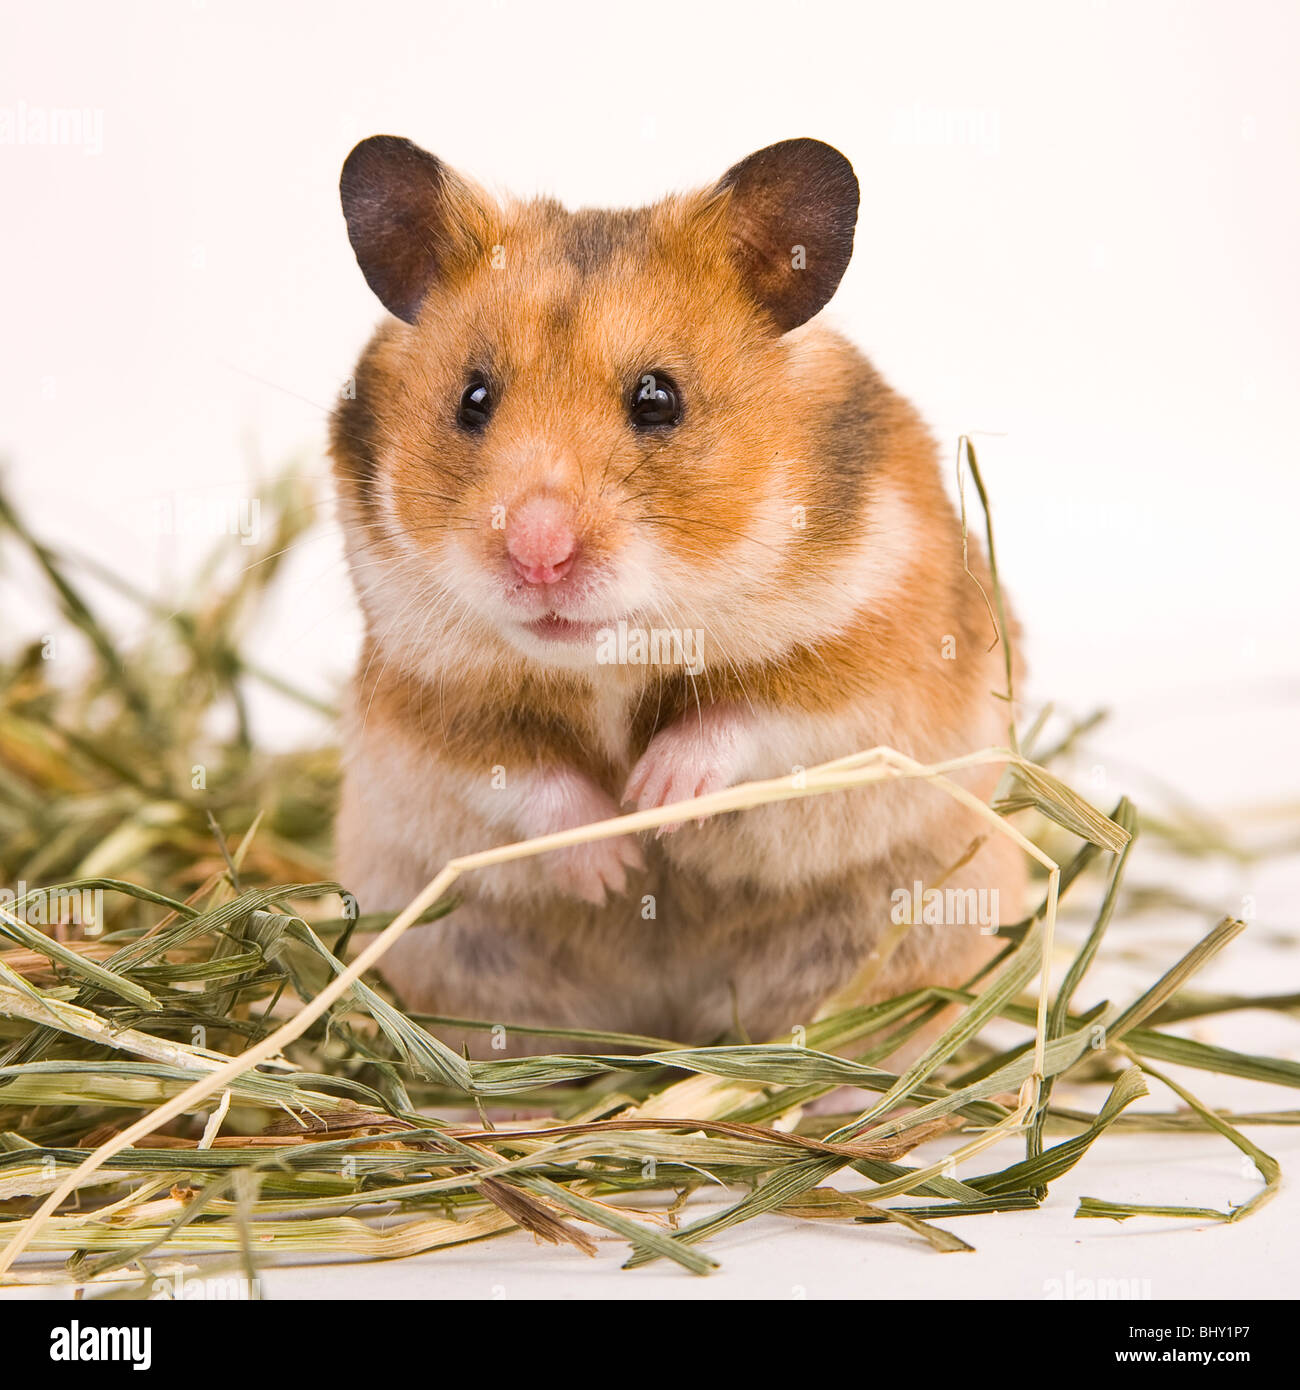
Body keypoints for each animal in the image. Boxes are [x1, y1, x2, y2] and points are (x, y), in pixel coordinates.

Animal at [330, 134, 1024, 1054]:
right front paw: (616, 861)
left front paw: (657, 804)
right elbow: (520, 771)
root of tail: (667, 1015)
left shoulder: (872, 660)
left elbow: (748, 719)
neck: (611, 660)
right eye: (472, 398)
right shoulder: (423, 701)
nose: (538, 556)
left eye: (658, 398)